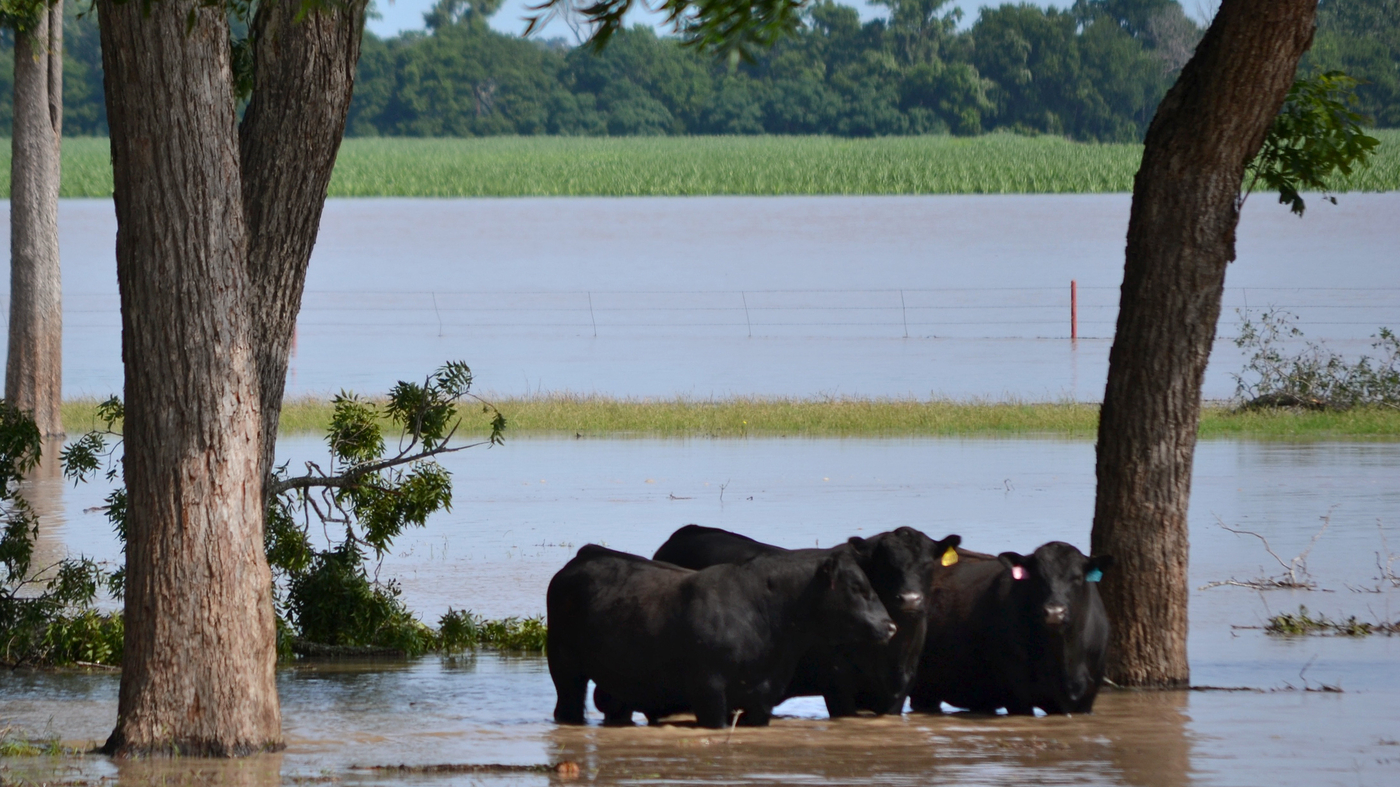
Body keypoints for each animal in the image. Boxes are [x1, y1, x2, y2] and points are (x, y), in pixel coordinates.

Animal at [547, 543, 895, 728]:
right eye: (857, 587)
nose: (890, 626)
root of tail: (587, 554)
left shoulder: (762, 698)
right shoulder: (709, 692)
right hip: (564, 668)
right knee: (568, 706)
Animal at [652, 524, 962, 717]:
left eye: (927, 564)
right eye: (885, 564)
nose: (910, 599)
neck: (891, 653)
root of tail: (690, 530)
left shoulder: (899, 690)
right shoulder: (837, 684)